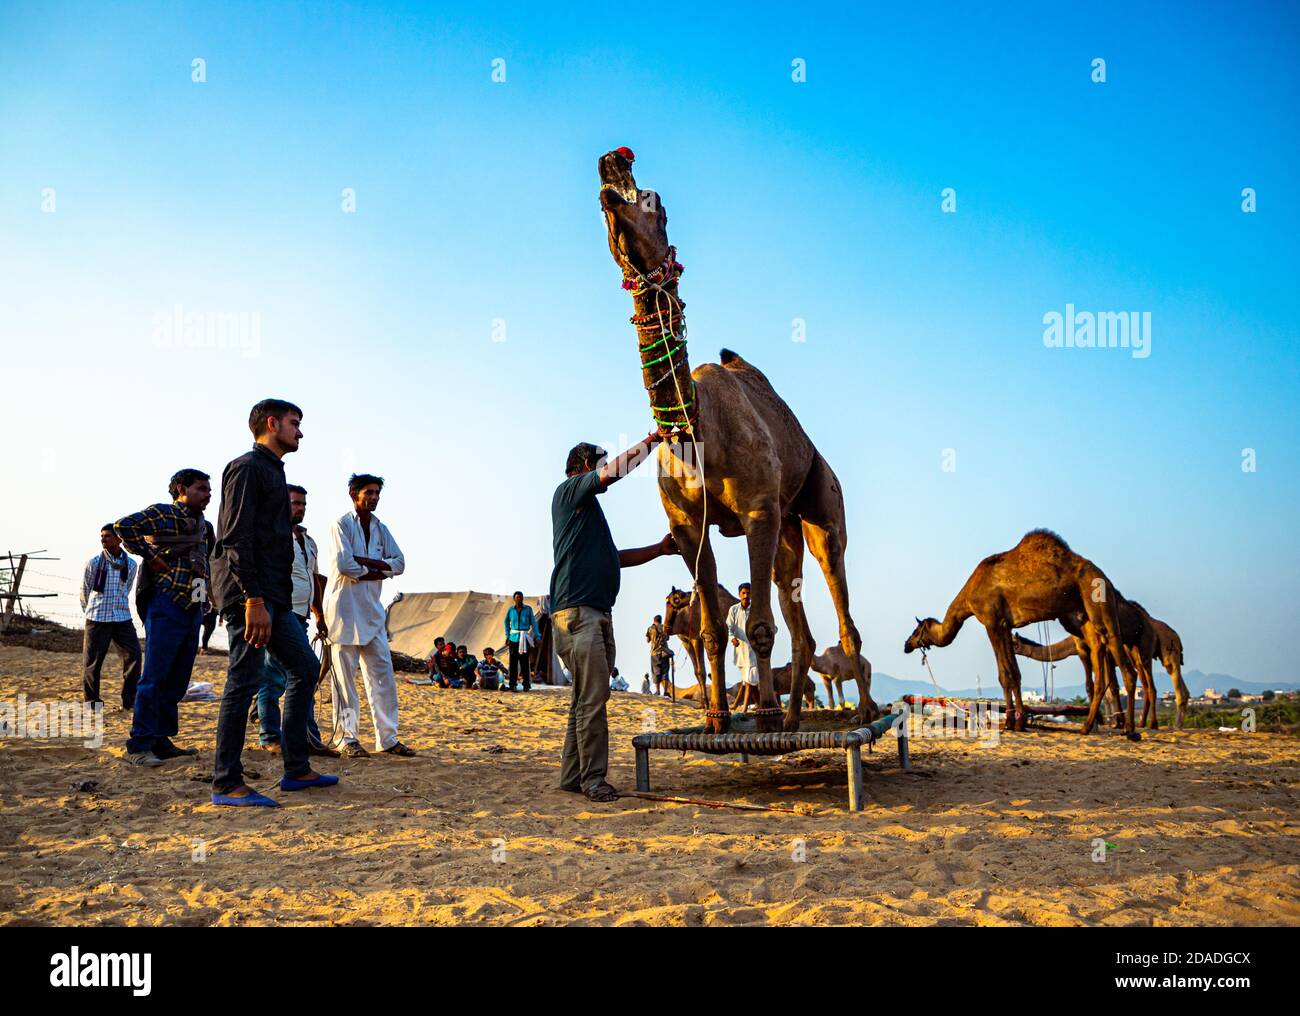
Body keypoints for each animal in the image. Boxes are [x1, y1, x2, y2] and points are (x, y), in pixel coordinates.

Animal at [600, 147, 868, 733]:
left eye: (657, 204)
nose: (613, 163)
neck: (699, 431)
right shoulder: (688, 530)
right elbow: (713, 629)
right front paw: (718, 719)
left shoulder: (758, 512)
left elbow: (760, 624)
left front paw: (757, 714)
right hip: (788, 528)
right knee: (799, 617)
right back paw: (790, 719)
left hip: (820, 507)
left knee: (838, 603)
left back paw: (858, 711)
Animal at [902, 529, 1144, 740]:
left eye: (916, 631)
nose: (906, 645)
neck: (969, 597)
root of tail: (1106, 579)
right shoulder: (1006, 625)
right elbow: (1014, 673)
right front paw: (1016, 722)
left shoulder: (991, 621)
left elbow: (1004, 674)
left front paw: (1012, 723)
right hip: (1083, 615)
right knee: (1103, 670)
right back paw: (1088, 727)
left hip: (1099, 604)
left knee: (1127, 668)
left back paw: (1129, 730)